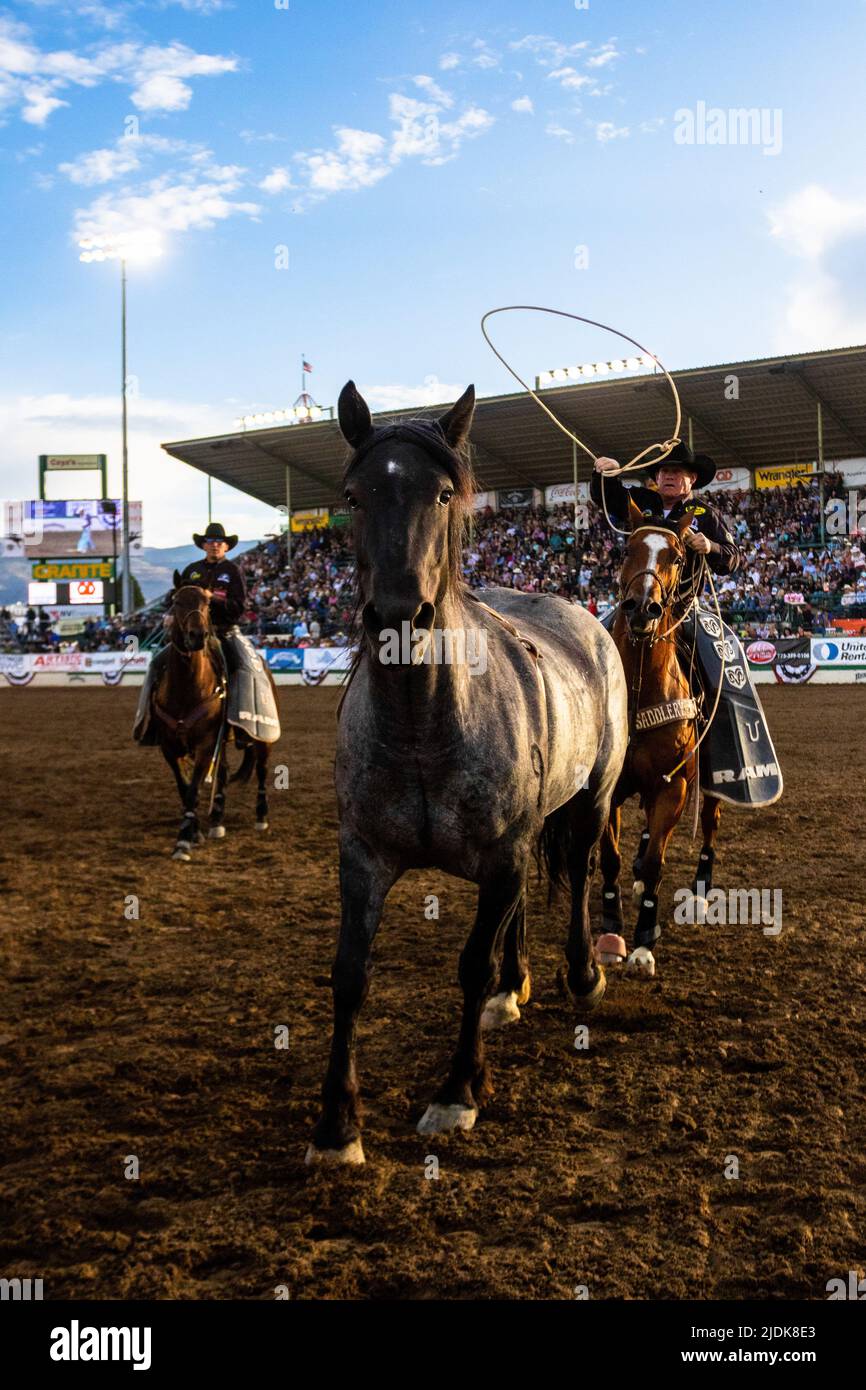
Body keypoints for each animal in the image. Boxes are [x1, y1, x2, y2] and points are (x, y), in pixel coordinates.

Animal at [152, 578, 273, 860]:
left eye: (207, 602)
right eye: (176, 601)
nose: (197, 636)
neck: (186, 690)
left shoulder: (206, 745)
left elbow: (194, 790)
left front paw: (183, 841)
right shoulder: (169, 748)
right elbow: (184, 788)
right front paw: (195, 831)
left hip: (261, 737)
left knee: (262, 770)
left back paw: (261, 817)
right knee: (225, 772)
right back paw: (217, 820)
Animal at [306, 381, 629, 1165]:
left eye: (445, 492)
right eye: (354, 495)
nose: (399, 613)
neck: (422, 727)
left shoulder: (505, 851)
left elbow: (471, 963)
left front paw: (457, 1092)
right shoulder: (362, 855)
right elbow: (349, 974)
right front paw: (337, 1125)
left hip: (592, 800)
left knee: (581, 875)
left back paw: (582, 973)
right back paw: (514, 989)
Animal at [597, 497, 723, 976]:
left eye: (678, 557)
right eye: (626, 549)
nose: (641, 608)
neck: (636, 692)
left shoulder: (674, 786)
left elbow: (655, 865)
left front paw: (643, 943)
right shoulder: (608, 790)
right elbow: (611, 858)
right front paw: (610, 933)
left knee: (710, 824)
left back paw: (701, 891)